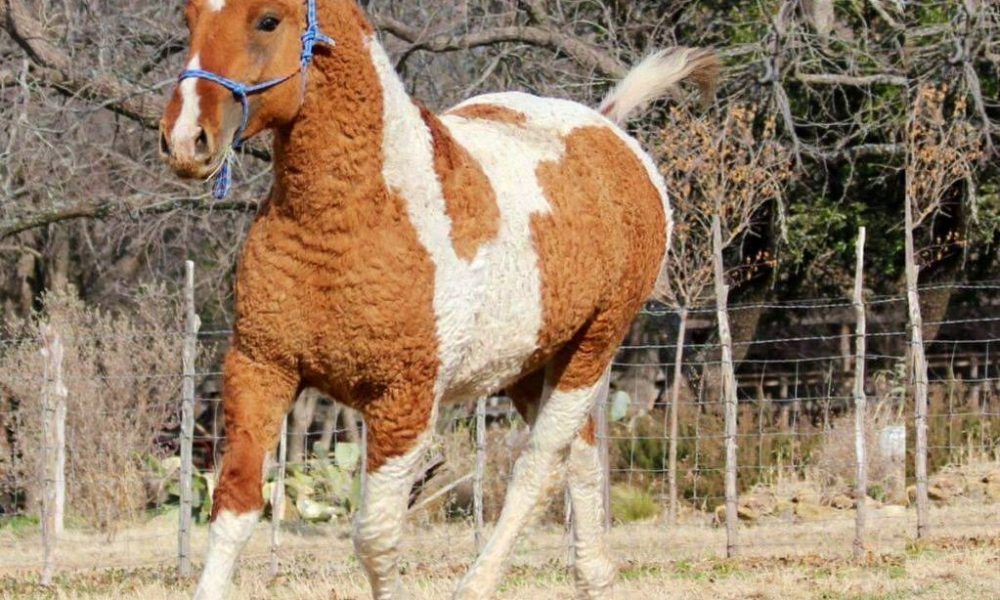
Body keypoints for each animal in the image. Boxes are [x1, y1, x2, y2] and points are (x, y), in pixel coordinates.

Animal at [158, 0, 717, 597]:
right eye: (189, 18)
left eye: (268, 20)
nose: (185, 138)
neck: (352, 218)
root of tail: (609, 128)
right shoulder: (261, 369)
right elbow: (235, 508)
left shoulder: (404, 401)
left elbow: (376, 535)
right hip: (528, 365)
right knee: (582, 458)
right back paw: (595, 577)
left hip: (593, 349)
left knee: (538, 465)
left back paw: (480, 582)